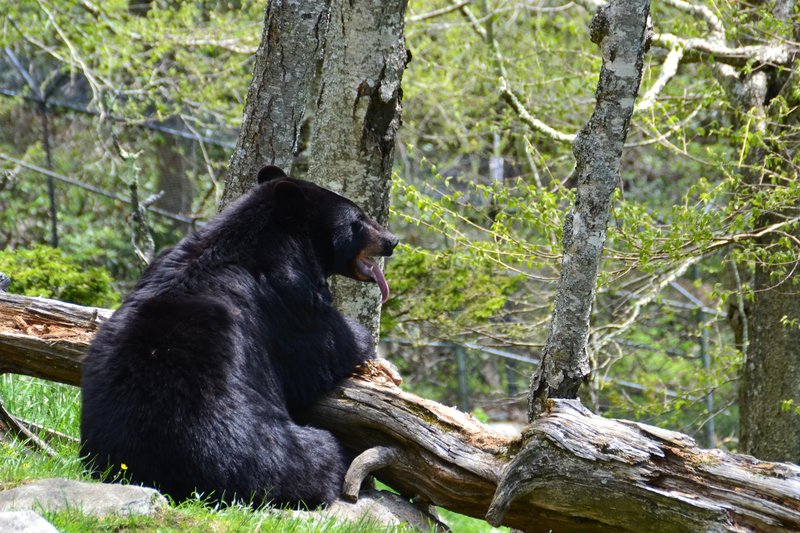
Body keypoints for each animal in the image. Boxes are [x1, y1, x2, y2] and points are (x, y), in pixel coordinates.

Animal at [80, 165, 398, 508]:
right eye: (358, 220)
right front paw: (363, 341)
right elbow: (322, 349)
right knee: (315, 455)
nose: (392, 241)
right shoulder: (288, 299)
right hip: (265, 452)